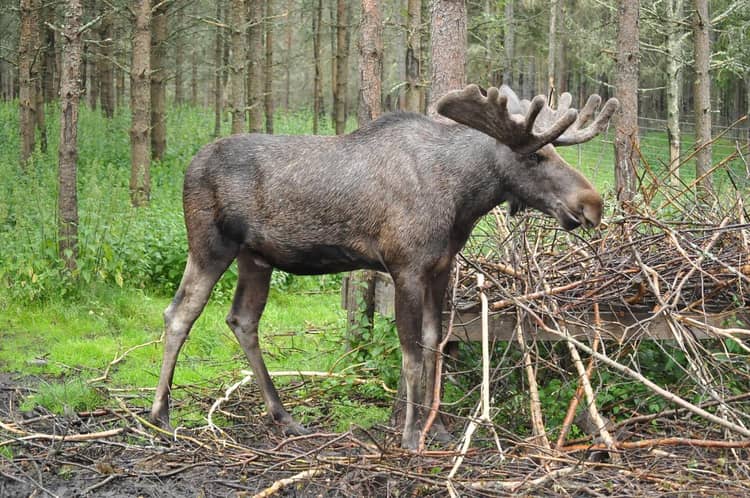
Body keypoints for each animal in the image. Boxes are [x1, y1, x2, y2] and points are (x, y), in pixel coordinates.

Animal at [149, 84, 618, 450]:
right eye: (536, 157)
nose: (591, 204)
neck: (462, 200)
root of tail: (189, 167)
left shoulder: (440, 266)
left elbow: (434, 343)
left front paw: (439, 429)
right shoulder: (405, 265)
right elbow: (410, 352)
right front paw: (410, 436)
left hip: (256, 257)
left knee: (242, 319)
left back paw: (283, 415)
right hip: (210, 244)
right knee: (180, 313)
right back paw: (160, 414)